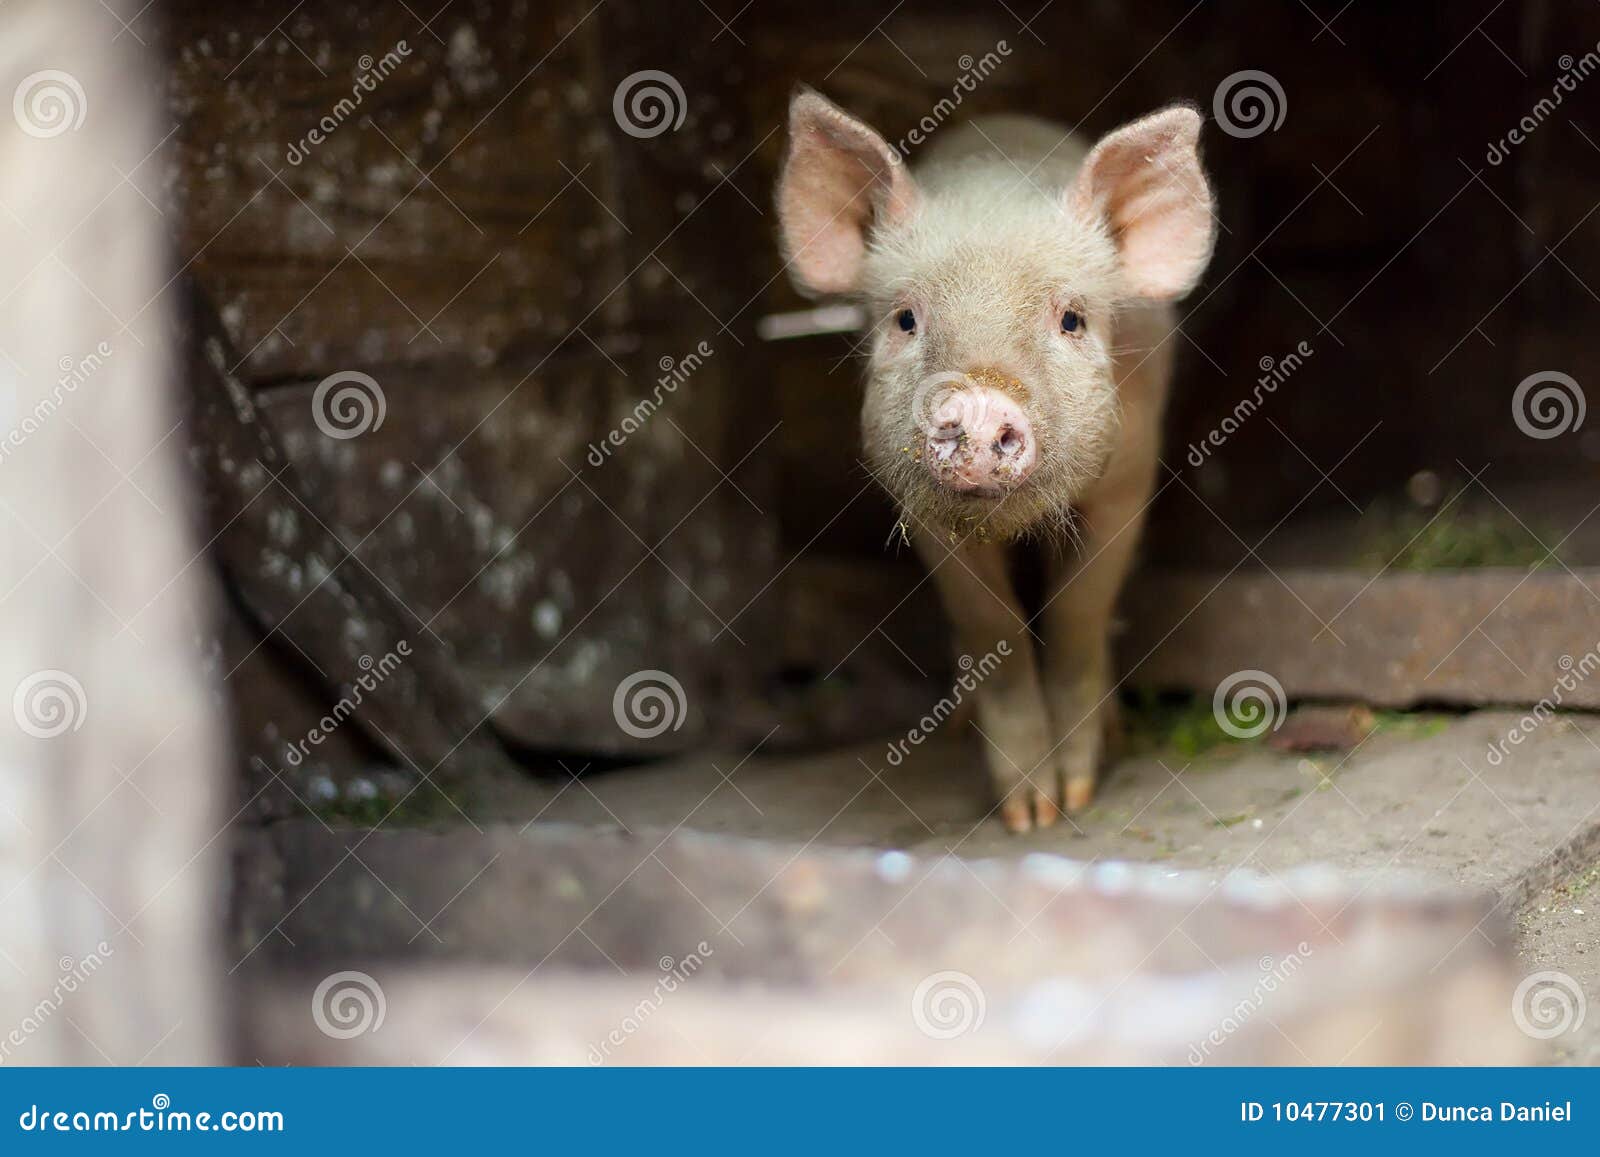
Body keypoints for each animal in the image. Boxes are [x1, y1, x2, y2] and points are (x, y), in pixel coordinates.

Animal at [775, 89, 1216, 831]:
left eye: (1071, 319)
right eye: (905, 319)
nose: (979, 404)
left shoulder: (1128, 480)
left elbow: (1078, 615)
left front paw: (1075, 798)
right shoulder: (920, 509)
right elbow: (991, 627)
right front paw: (1027, 817)